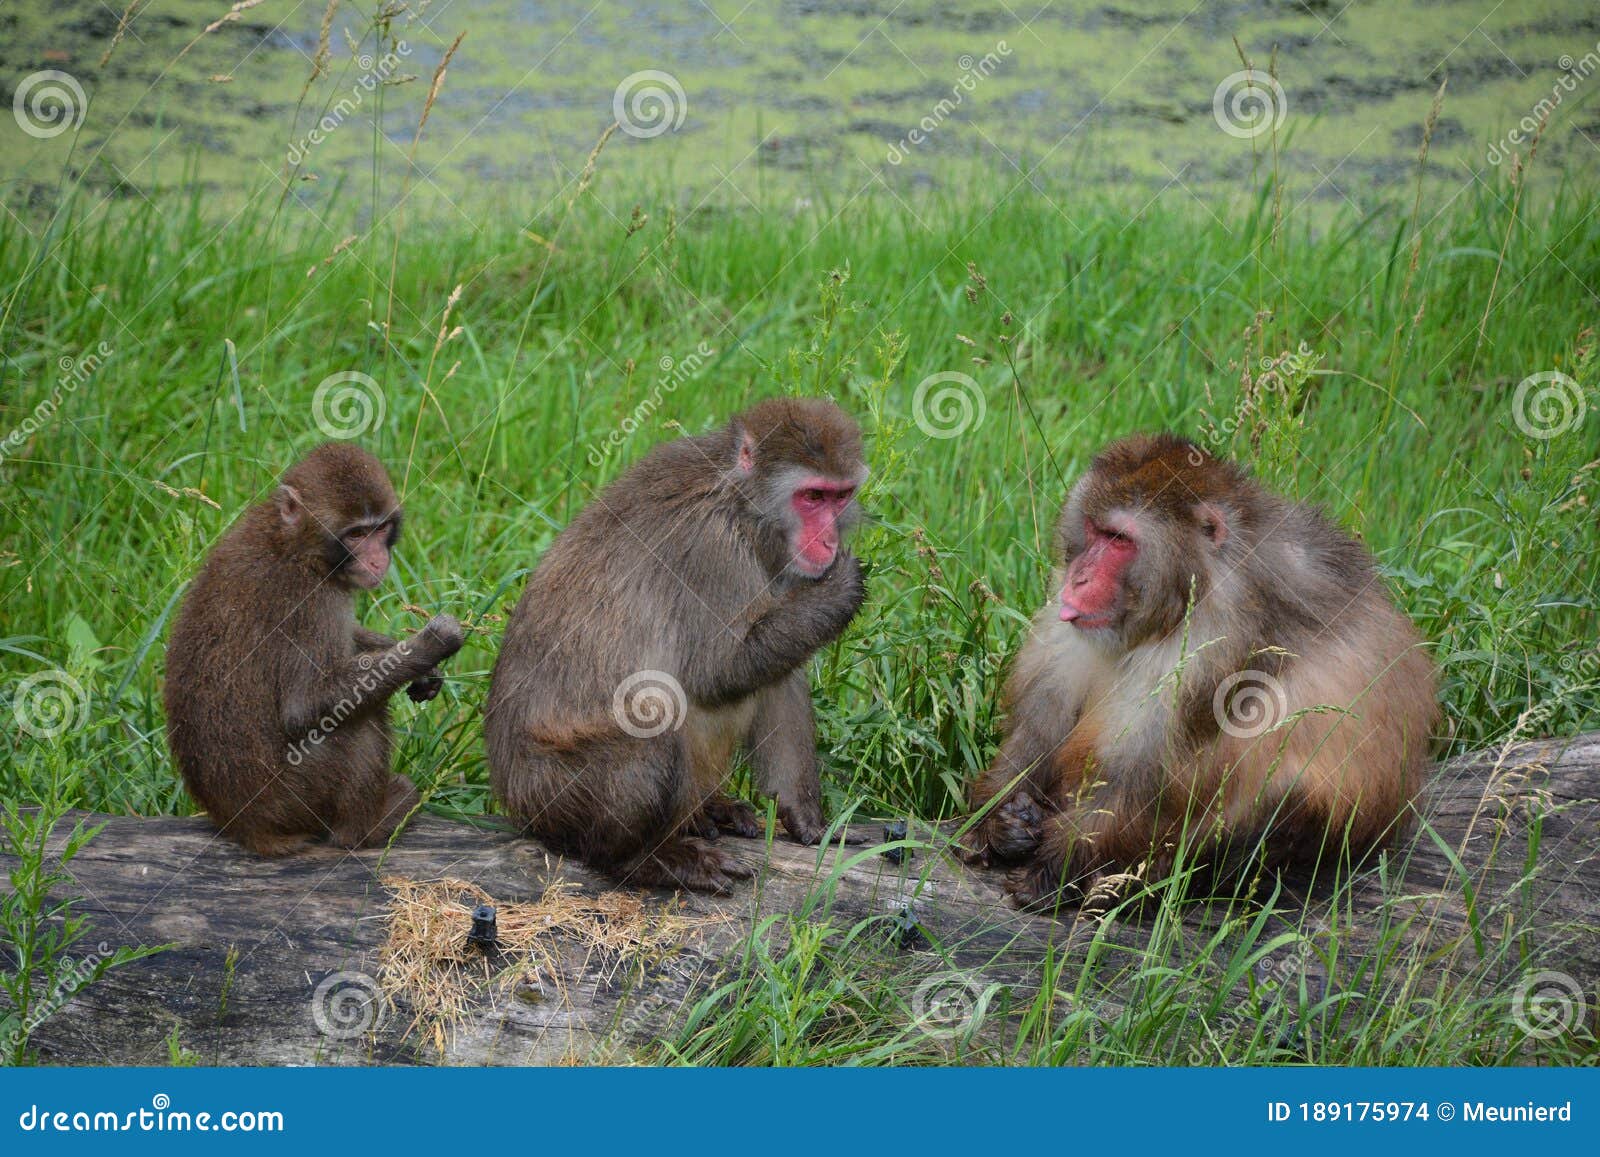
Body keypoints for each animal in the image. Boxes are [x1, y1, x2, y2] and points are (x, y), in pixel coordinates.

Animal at [164, 443, 464, 856]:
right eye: (356, 533)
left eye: (379, 529)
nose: (378, 559)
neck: (294, 546)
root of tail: (245, 828)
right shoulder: (309, 601)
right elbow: (304, 705)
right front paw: (431, 645)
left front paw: (416, 663)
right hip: (294, 798)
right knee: (357, 723)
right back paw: (365, 830)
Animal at [485, 397, 869, 893]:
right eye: (812, 497)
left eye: (839, 497)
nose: (828, 539)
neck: (741, 503)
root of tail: (511, 792)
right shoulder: (712, 549)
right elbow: (720, 669)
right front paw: (840, 590)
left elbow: (777, 675)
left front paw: (809, 823)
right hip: (551, 791)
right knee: (656, 721)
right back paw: (644, 860)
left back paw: (706, 811)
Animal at [964, 433, 1438, 909]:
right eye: (1095, 531)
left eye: (1119, 539)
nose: (1077, 578)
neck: (1183, 596)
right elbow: (1044, 725)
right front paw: (999, 820)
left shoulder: (1215, 643)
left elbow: (1144, 776)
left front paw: (1052, 869)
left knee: (1289, 797)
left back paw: (1152, 880)